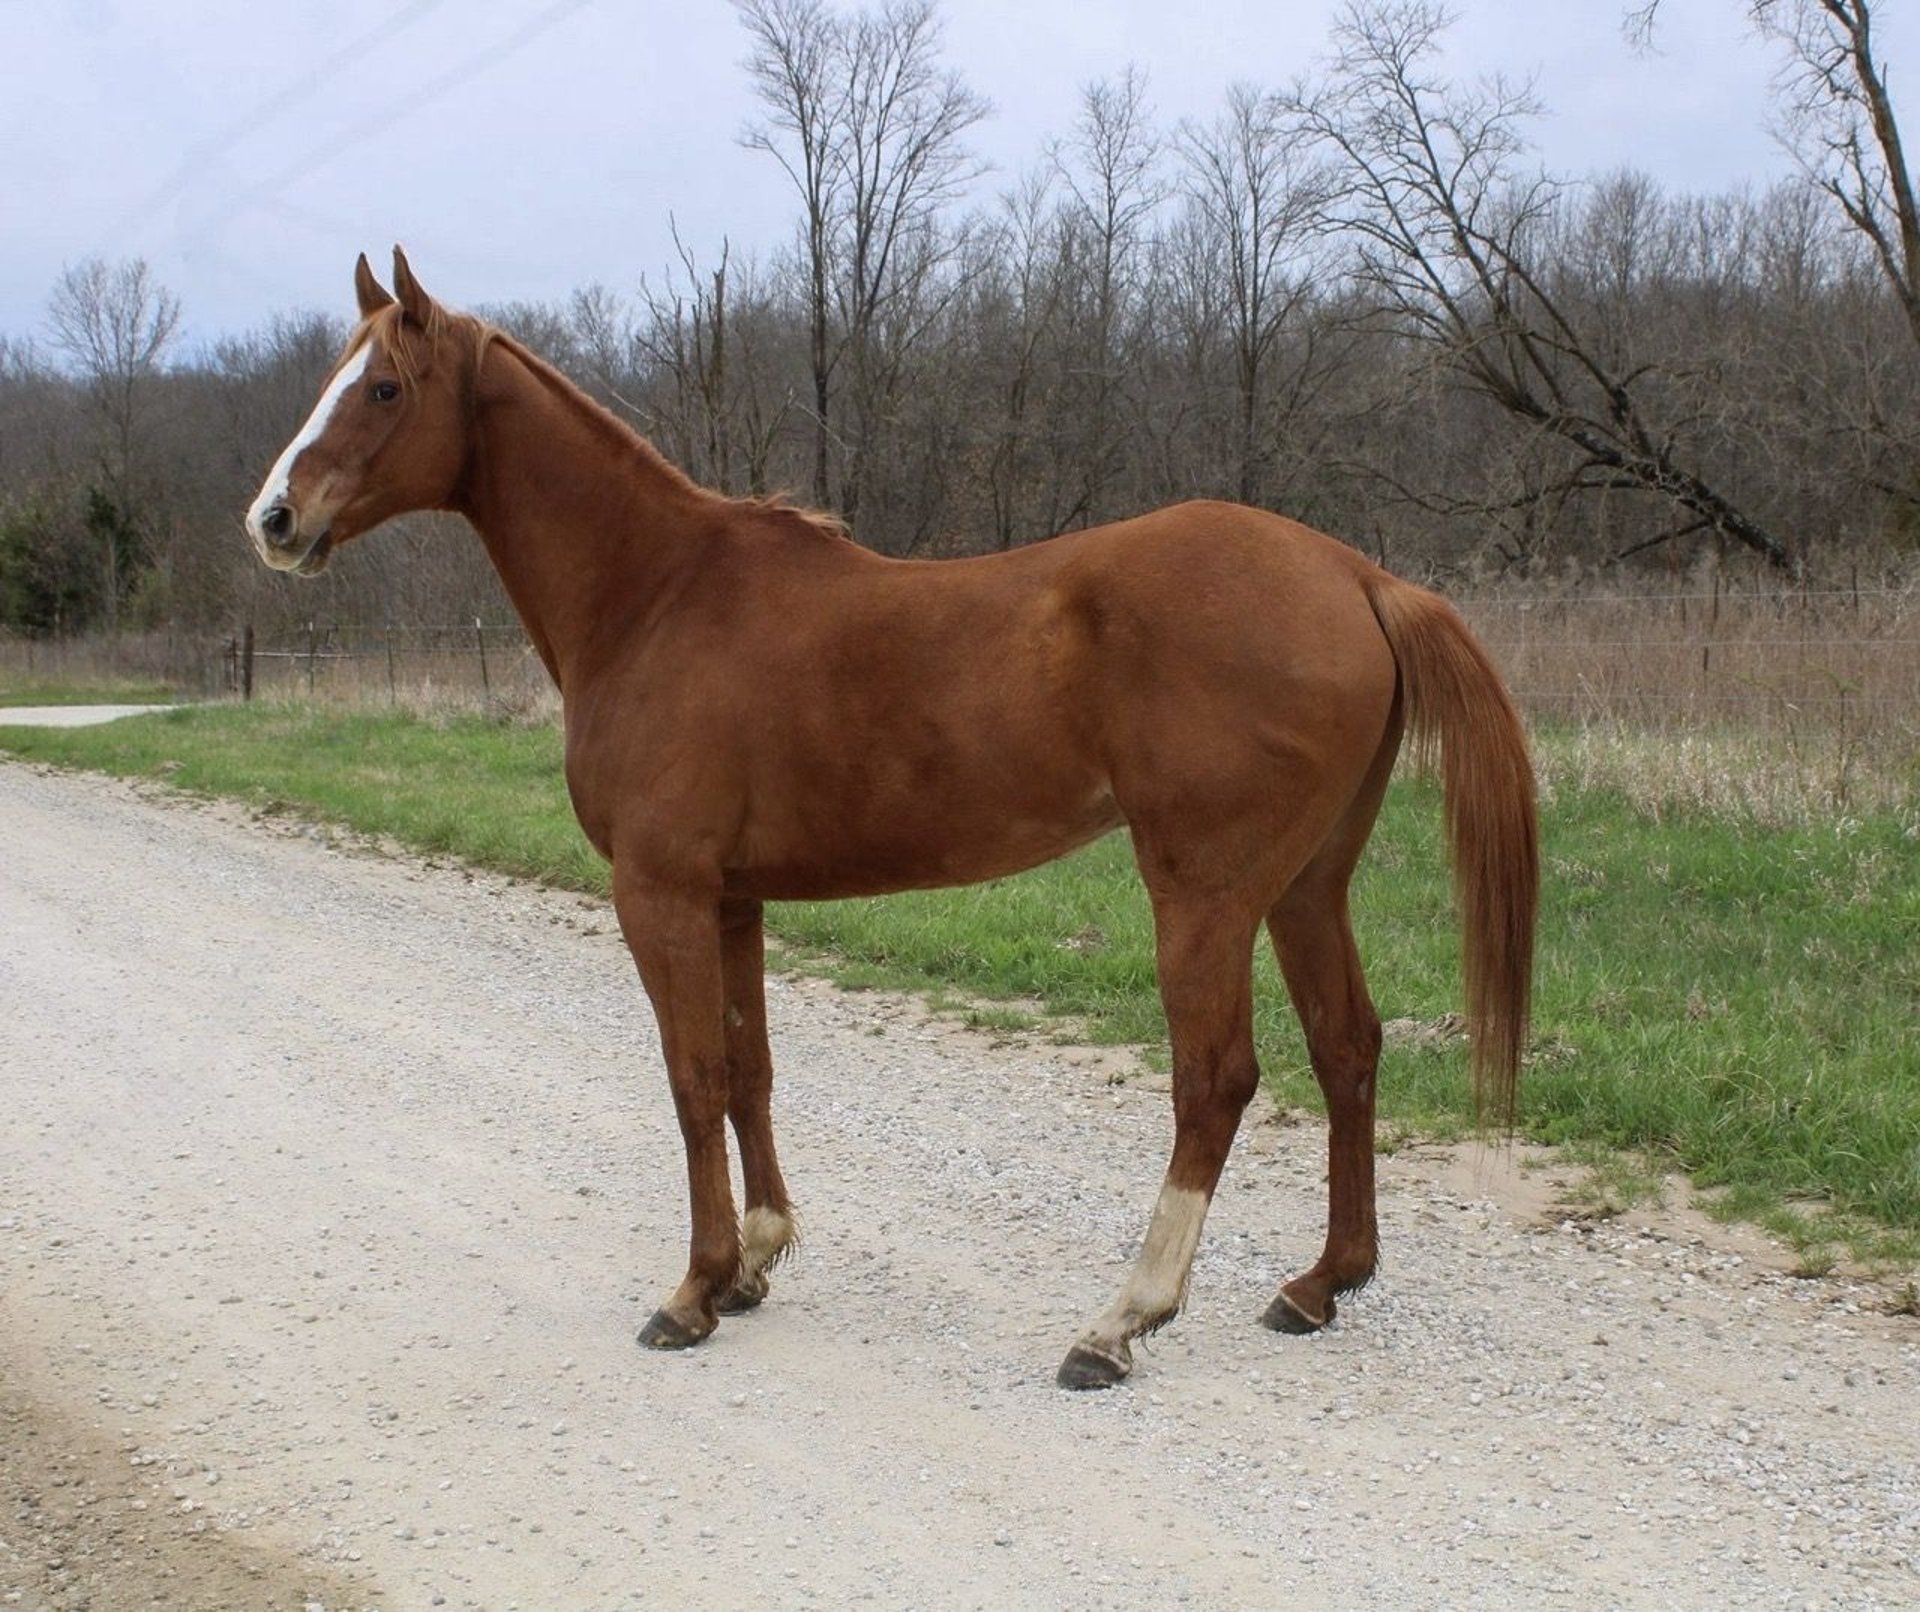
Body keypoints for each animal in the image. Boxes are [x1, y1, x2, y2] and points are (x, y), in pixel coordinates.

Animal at [245, 248, 1538, 1390]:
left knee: (1215, 1080)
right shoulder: (733, 898)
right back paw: (1321, 1283)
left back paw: (1121, 1321)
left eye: (384, 387)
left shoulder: (660, 892)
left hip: (1206, 894)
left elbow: (691, 1076)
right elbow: (749, 1068)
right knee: (1347, 1047)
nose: (273, 519)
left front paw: (692, 1290)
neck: (655, 594)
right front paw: (755, 1263)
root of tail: (1358, 577)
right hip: (1307, 883)